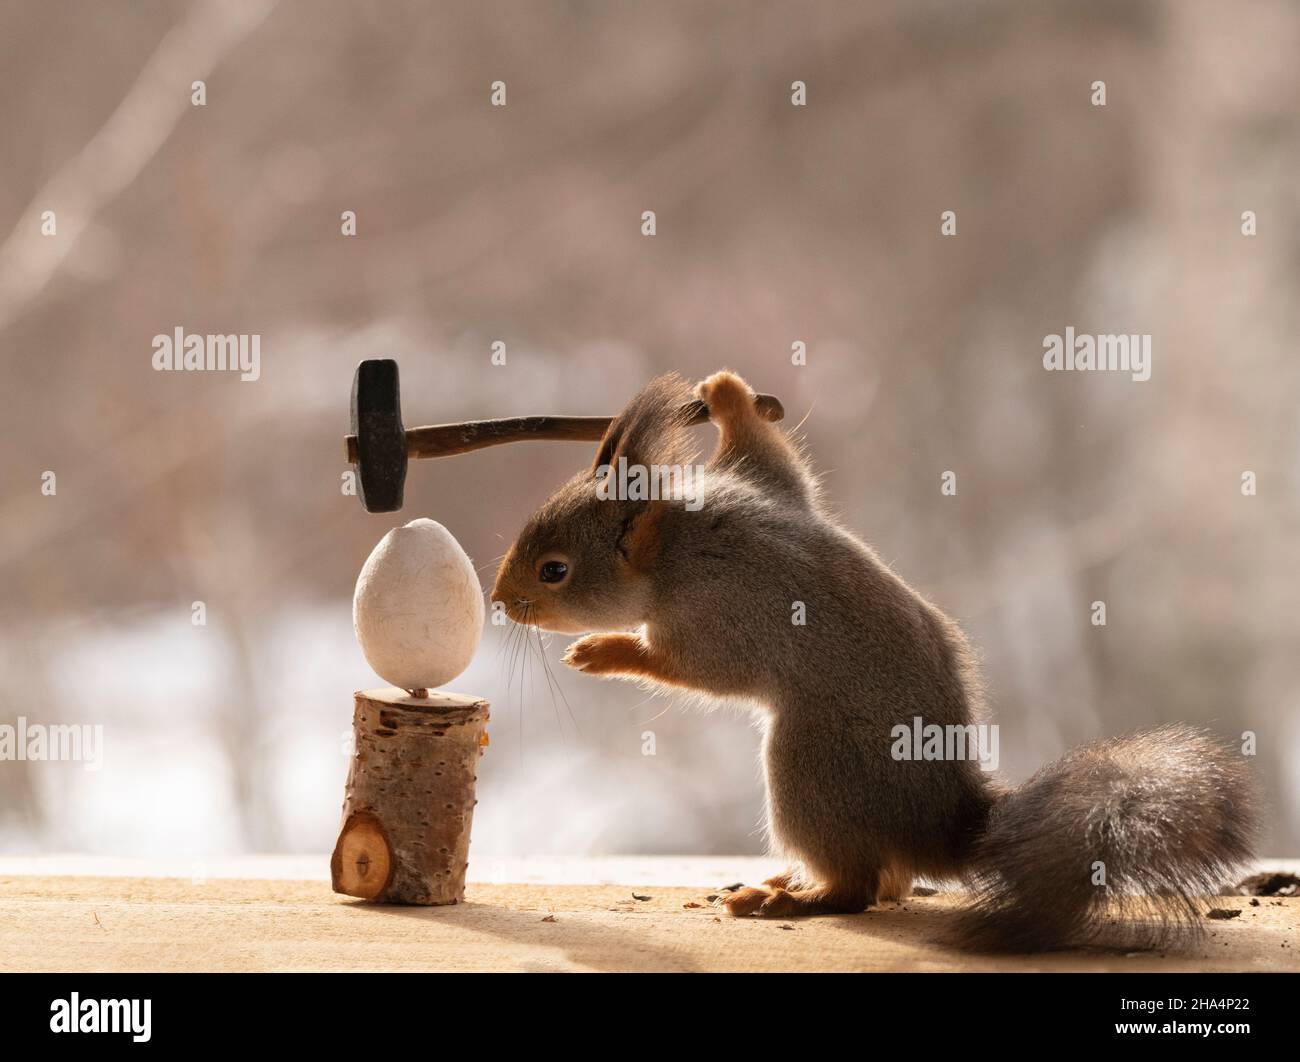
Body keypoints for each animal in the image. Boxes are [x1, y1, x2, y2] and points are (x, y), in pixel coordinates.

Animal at [491, 369, 1256, 950]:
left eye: (555, 570)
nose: (500, 600)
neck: (679, 541)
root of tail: (936, 822)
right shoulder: (766, 487)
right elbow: (777, 460)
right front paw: (730, 394)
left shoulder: (723, 614)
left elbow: (702, 671)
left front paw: (604, 649)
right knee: (886, 880)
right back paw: (789, 882)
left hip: (810, 765)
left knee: (859, 890)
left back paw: (794, 900)